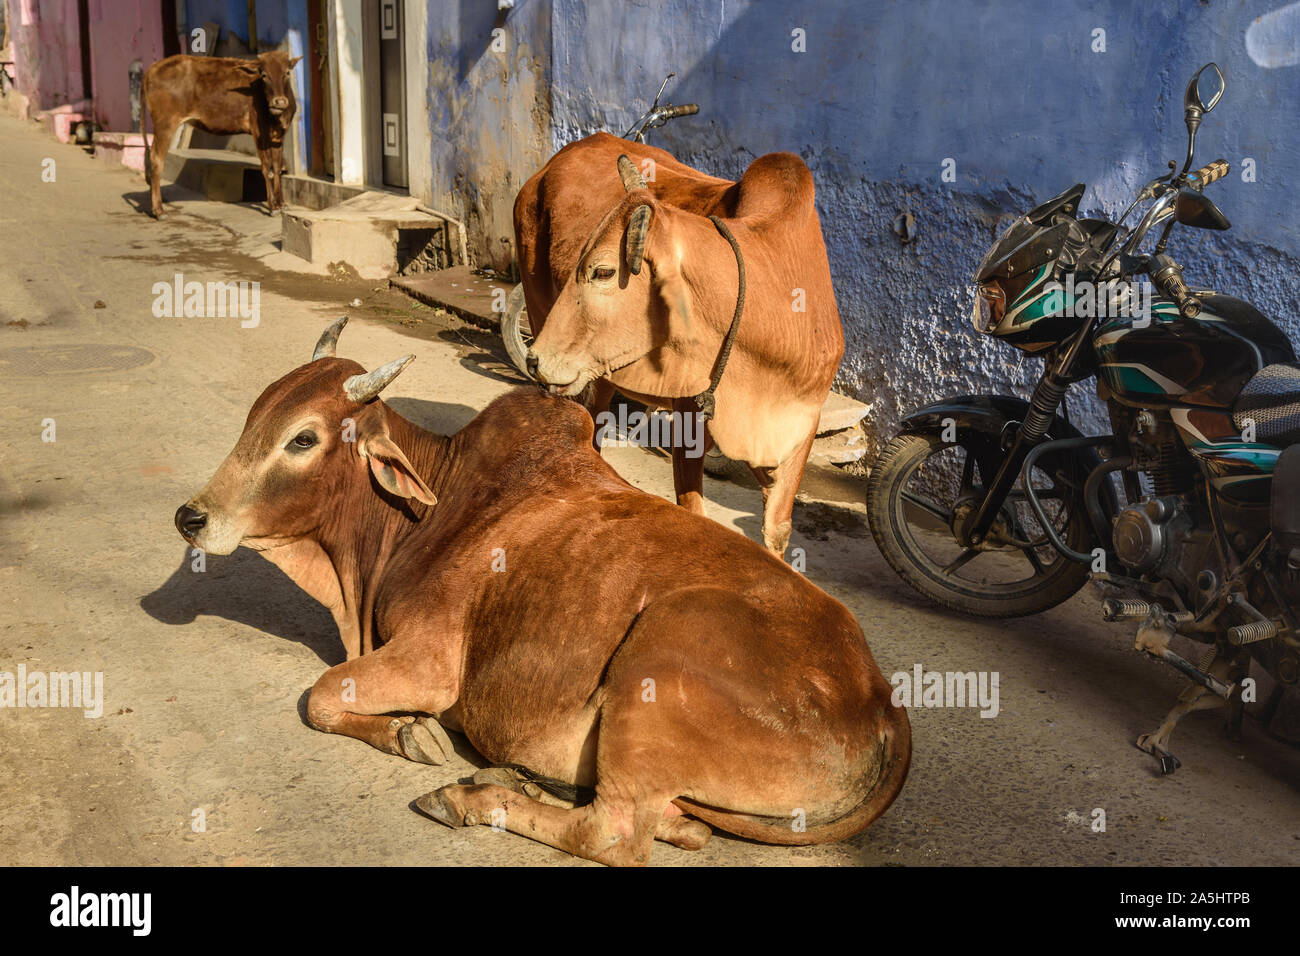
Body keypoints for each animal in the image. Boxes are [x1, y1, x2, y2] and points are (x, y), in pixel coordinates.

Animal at [142, 51, 300, 219]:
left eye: (287, 73)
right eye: (264, 75)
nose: (279, 102)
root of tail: (153, 68)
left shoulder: (279, 135)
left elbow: (277, 168)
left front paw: (282, 204)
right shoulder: (259, 132)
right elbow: (266, 168)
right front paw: (273, 207)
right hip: (165, 125)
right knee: (156, 160)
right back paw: (159, 210)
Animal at [172, 316, 909, 866]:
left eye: (303, 438)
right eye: (255, 416)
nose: (192, 517)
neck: (430, 510)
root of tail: (879, 698)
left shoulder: (431, 662)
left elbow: (320, 699)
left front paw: (413, 735)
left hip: (657, 664)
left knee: (613, 833)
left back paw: (470, 797)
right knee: (679, 824)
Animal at [515, 132, 844, 556]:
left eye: (603, 271)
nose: (536, 358)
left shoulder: (801, 429)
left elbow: (777, 530)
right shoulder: (689, 418)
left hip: (600, 374)